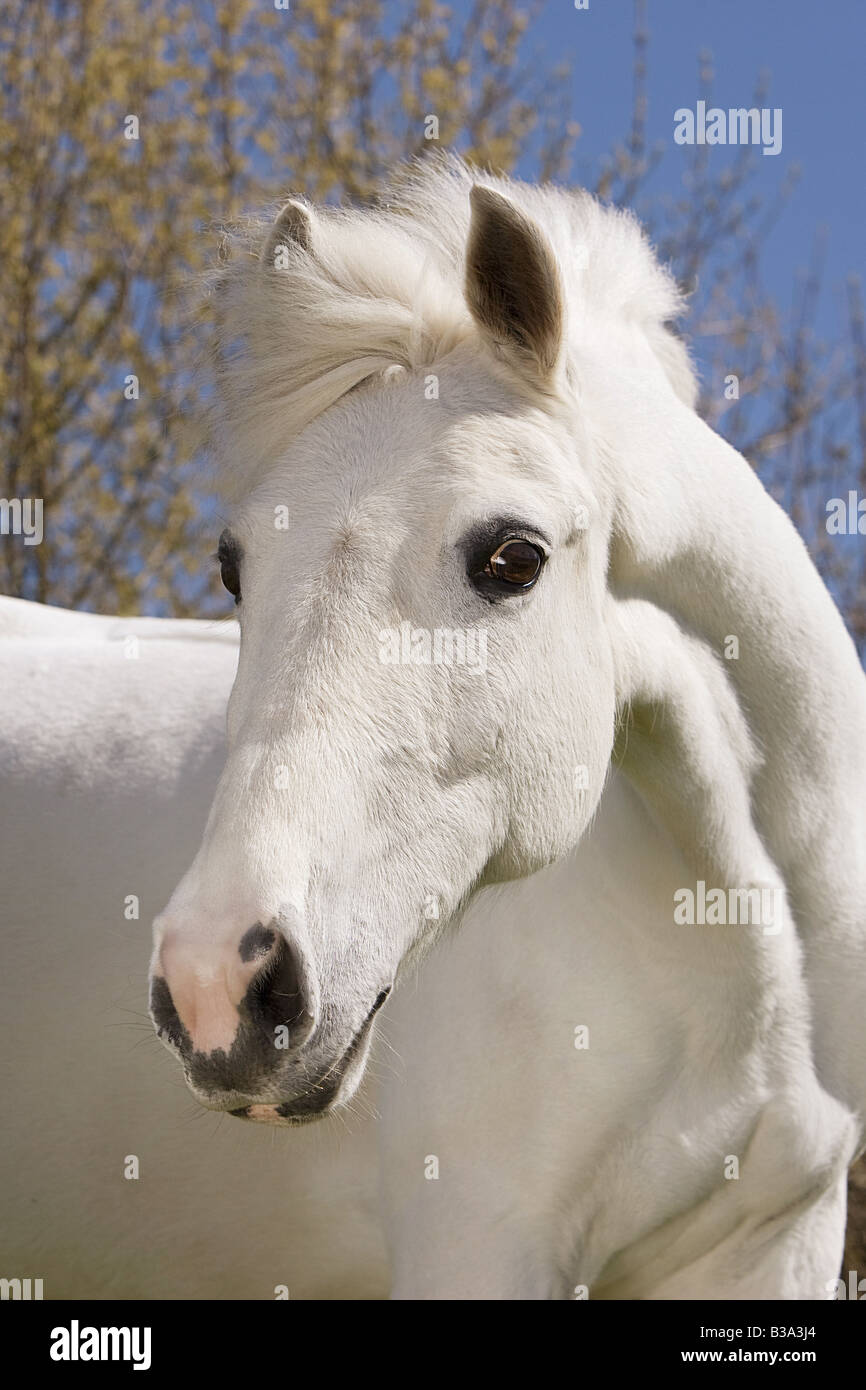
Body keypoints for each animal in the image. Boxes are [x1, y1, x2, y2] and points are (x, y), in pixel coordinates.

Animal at [1, 154, 864, 1299]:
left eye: (514, 557)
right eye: (233, 567)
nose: (216, 983)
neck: (740, 923)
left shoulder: (774, 1239)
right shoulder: (481, 1238)